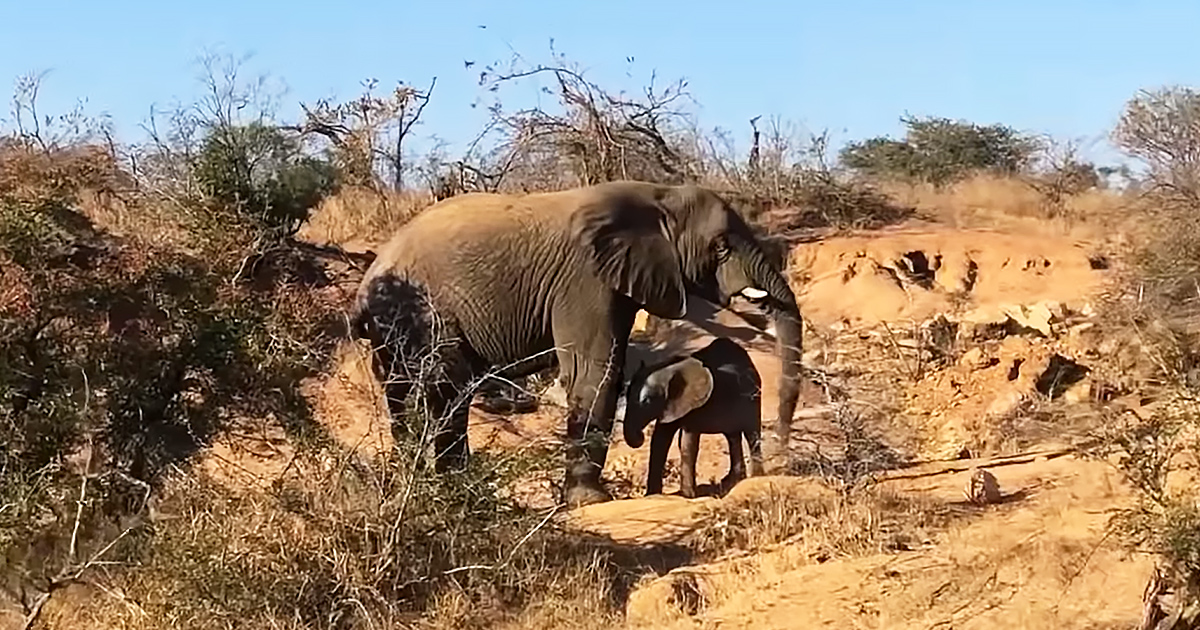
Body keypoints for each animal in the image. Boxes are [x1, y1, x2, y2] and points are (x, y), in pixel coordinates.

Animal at [623, 336, 764, 498]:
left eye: (646, 402)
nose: (640, 436)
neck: (670, 369)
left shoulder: (694, 405)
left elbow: (687, 442)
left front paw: (687, 496)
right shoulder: (671, 404)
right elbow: (660, 440)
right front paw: (652, 496)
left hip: (754, 398)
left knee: (752, 434)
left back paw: (755, 478)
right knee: (733, 437)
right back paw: (731, 481)